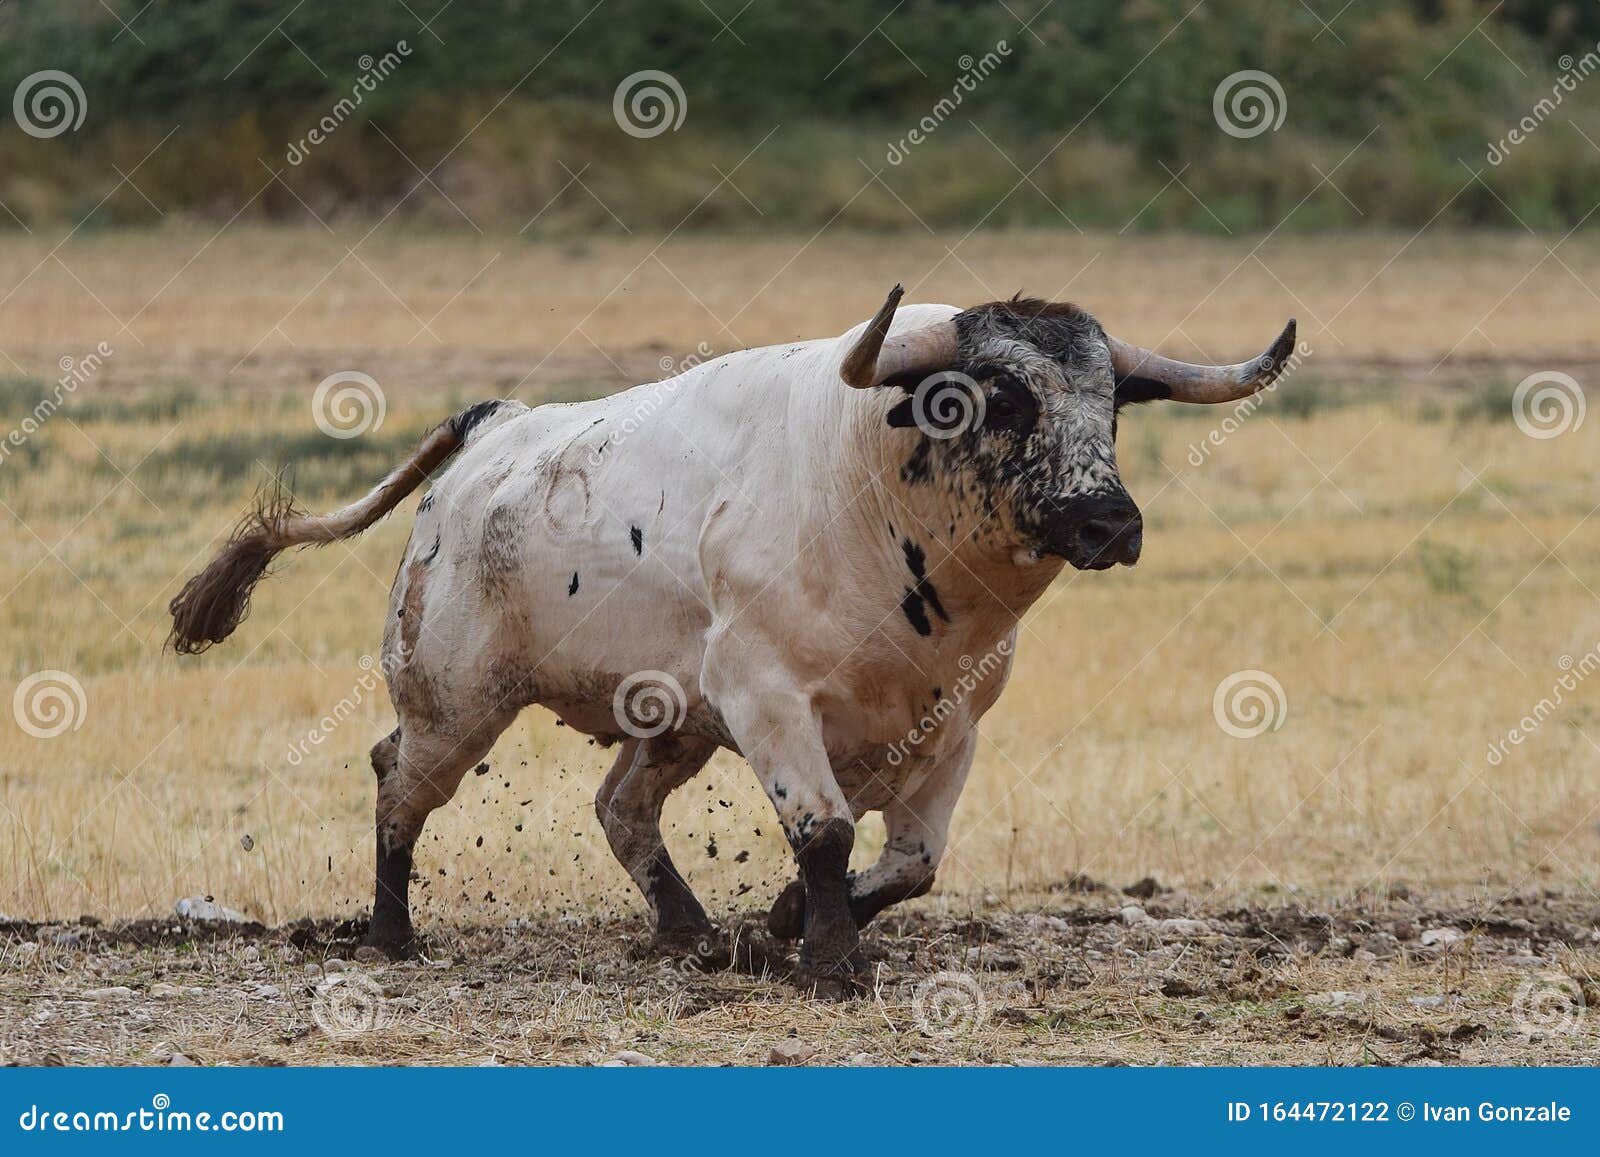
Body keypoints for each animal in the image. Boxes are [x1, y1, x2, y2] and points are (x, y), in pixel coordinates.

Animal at [169, 288, 1294, 991]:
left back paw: (691, 931)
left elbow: (912, 860)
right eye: (1002, 397)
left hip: (672, 721)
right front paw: (832, 961)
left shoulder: (954, 723)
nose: (1108, 522)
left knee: (619, 806)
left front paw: (786, 921)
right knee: (400, 779)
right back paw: (392, 934)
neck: (871, 490)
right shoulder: (769, 700)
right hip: (454, 697)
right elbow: (827, 828)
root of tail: (498, 428)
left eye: (1113, 403)